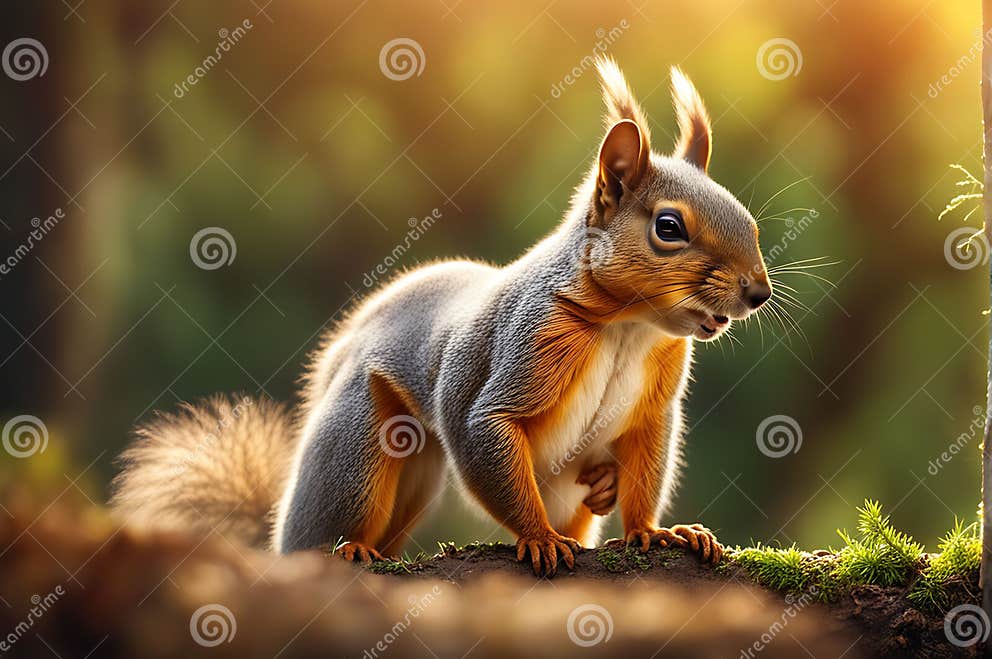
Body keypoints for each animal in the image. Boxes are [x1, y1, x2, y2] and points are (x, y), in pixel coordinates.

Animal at [111, 58, 772, 577]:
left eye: (752, 223)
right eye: (669, 227)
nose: (757, 293)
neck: (628, 327)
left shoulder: (655, 407)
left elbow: (643, 468)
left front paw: (653, 532)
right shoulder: (525, 346)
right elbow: (485, 431)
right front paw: (539, 538)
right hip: (358, 442)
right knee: (326, 525)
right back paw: (344, 550)